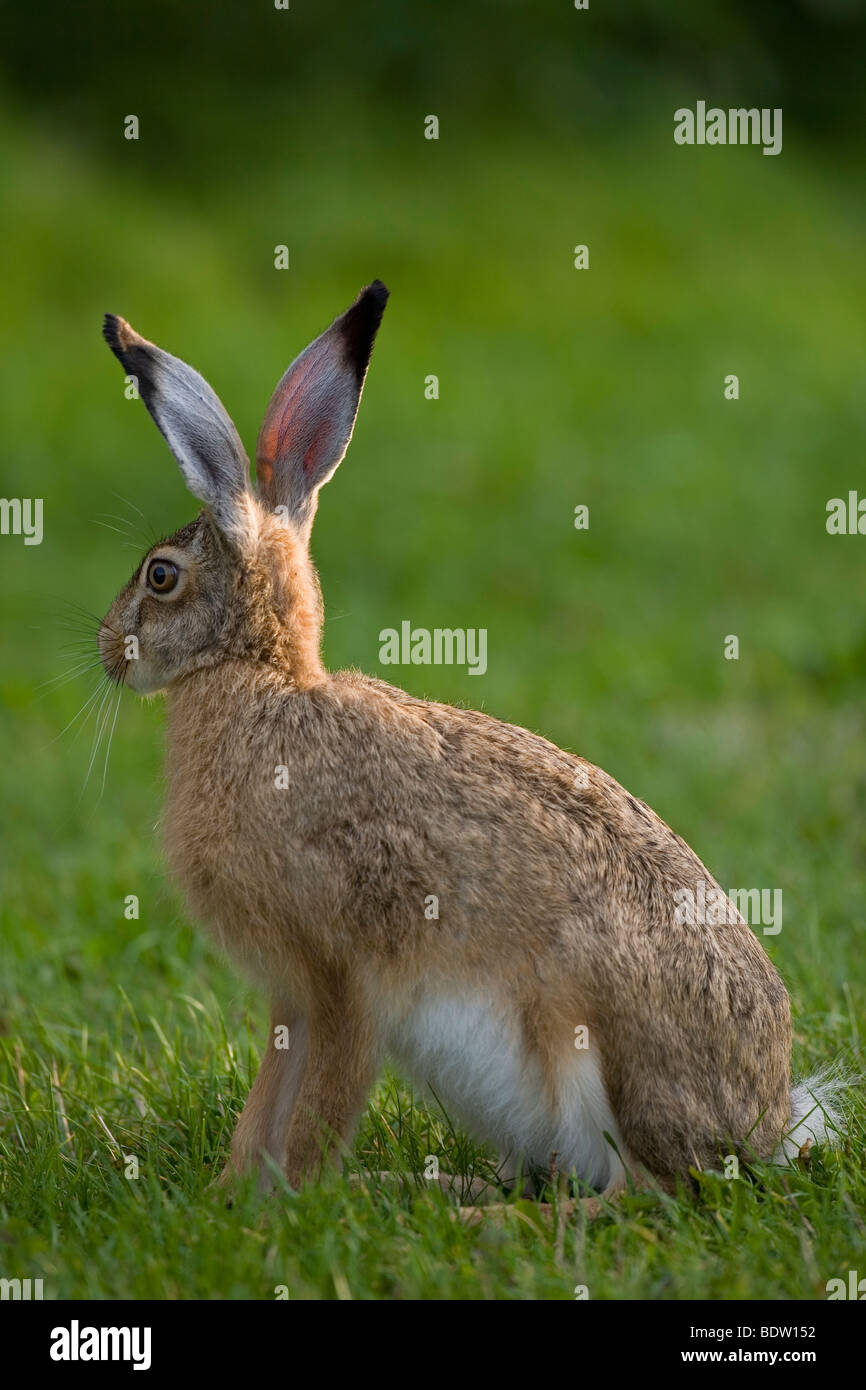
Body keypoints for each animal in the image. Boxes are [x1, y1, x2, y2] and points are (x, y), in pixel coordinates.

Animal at [98, 282, 840, 1200]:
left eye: (161, 577)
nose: (106, 650)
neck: (260, 677)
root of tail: (761, 1131)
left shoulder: (345, 978)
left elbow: (317, 1105)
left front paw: (291, 1202)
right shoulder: (292, 995)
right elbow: (266, 1104)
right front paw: (234, 1197)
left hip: (589, 1049)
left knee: (641, 1195)